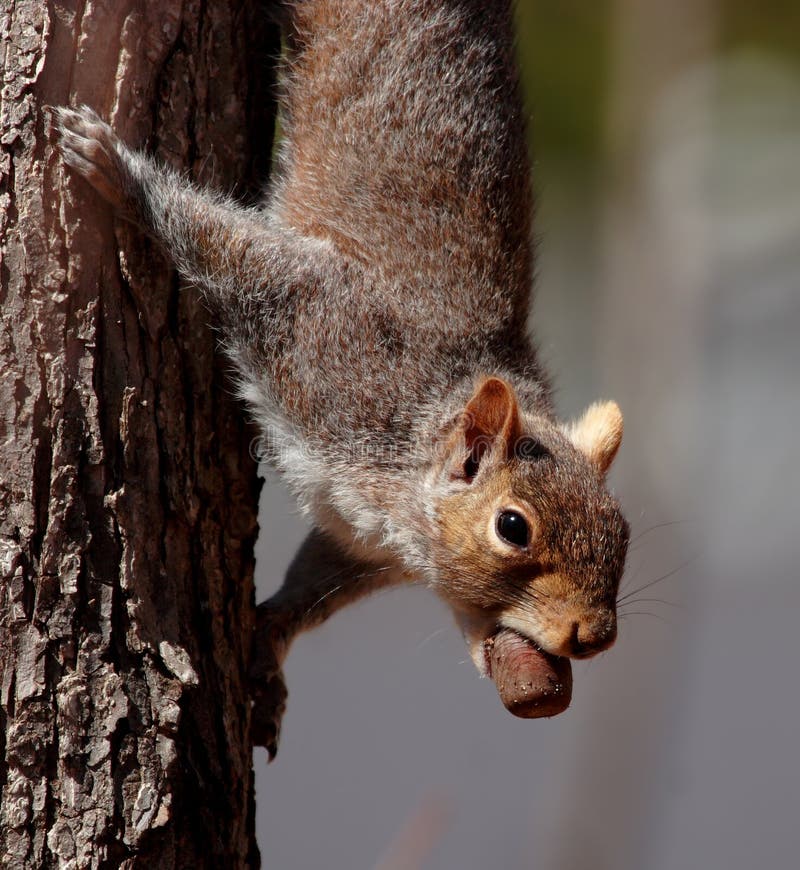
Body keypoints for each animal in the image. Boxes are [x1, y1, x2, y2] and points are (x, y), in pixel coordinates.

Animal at [54, 0, 629, 759]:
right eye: (513, 527)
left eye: (624, 532)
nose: (594, 638)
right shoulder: (321, 333)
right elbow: (228, 248)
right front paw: (123, 176)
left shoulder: (359, 543)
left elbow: (313, 588)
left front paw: (267, 645)